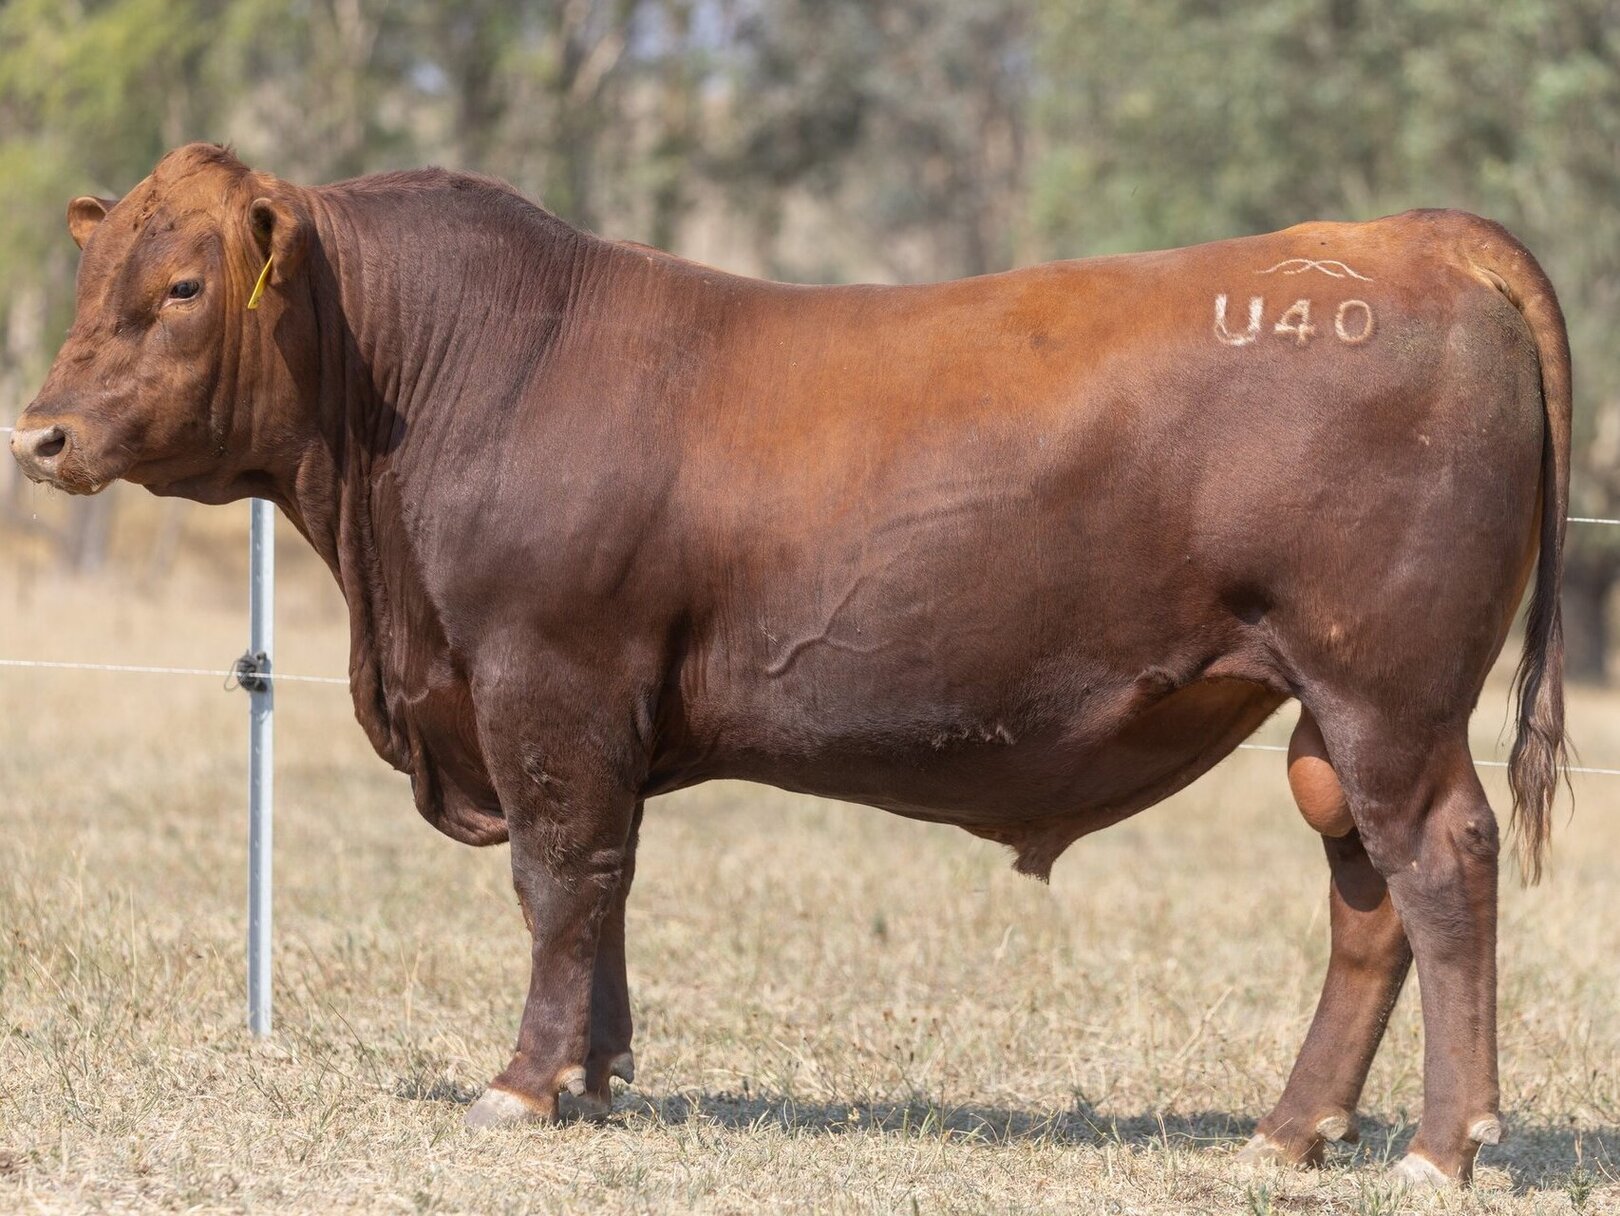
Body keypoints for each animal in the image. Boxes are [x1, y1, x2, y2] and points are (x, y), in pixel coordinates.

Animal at [11, 144, 1569, 1185]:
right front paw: (598, 1073)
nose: (39, 432)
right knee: (1365, 902)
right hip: (1331, 716)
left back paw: (1443, 1147)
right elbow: (608, 884)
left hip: (1387, 697)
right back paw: (1290, 1132)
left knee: (1443, 866)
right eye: (93, 271)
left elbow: (558, 878)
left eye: (183, 285)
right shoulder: (600, 711)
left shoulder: (545, 681)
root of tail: (1414, 237)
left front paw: (523, 1084)